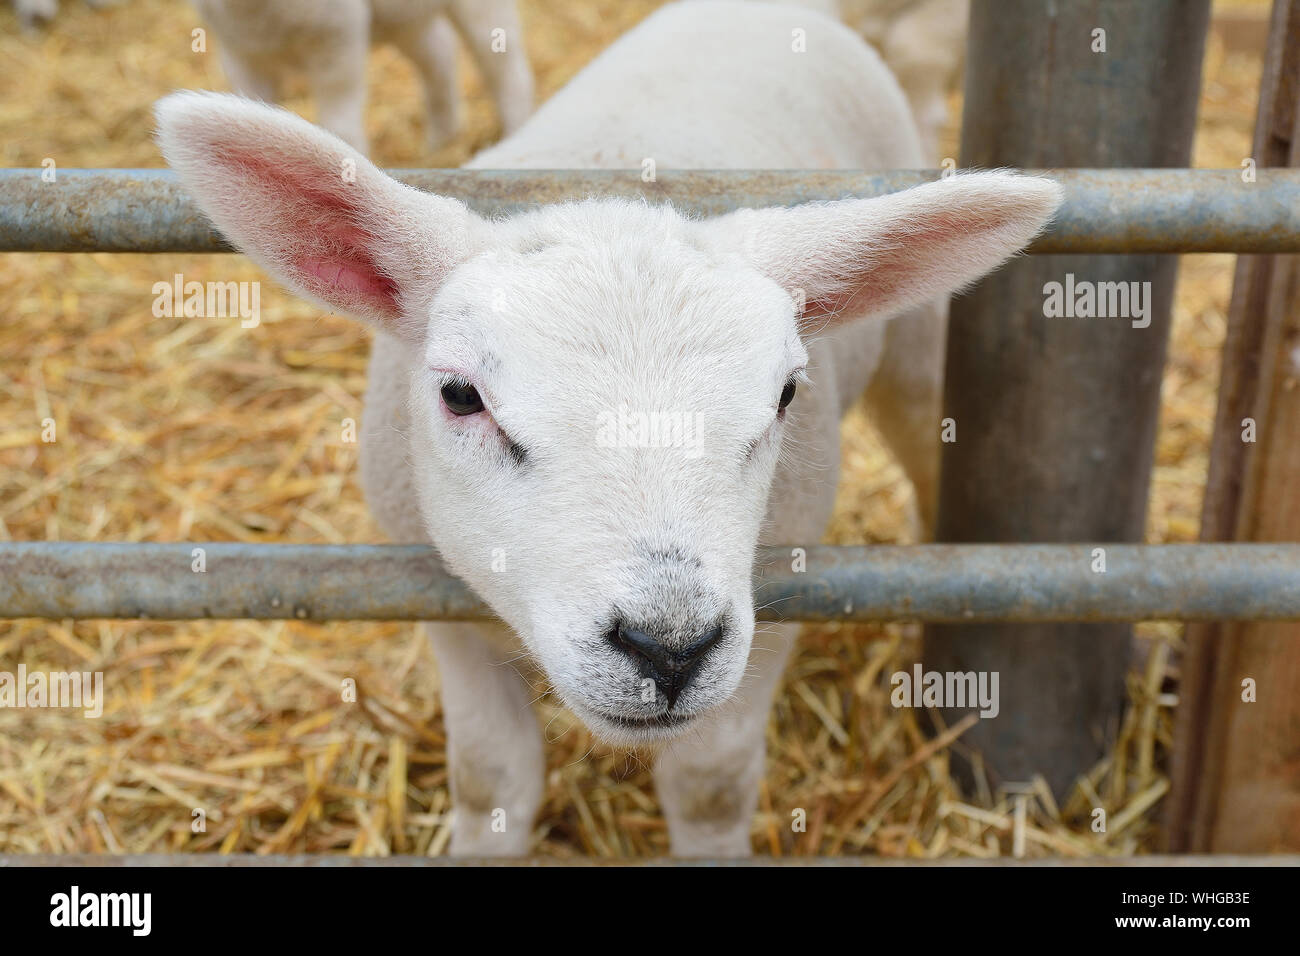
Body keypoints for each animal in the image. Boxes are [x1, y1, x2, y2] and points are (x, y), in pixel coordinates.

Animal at [192, 0, 534, 155]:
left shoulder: (339, 38)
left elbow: (340, 123)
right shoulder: (239, 53)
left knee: (506, 67)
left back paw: (516, 131)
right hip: (404, 19)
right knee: (439, 51)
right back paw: (440, 140)